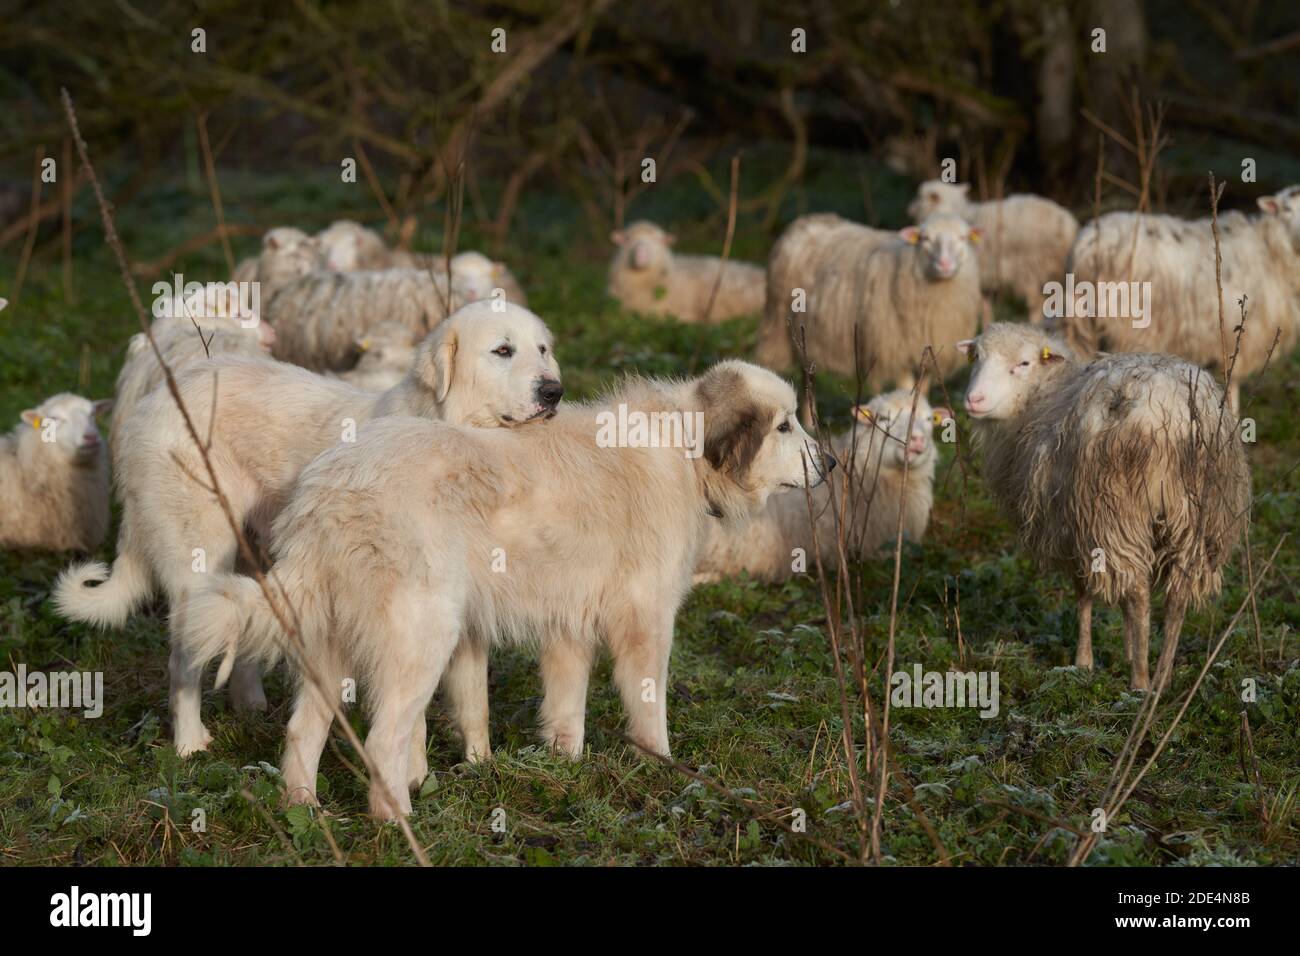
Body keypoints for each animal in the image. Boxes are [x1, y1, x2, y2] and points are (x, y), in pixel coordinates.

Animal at [756, 213, 982, 390]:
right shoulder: (892, 350)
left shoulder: (929, 351)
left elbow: (921, 392)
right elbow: (905, 389)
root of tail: (805, 221)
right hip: (780, 329)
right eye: (925, 238)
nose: (945, 264)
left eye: (962, 238)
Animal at [908, 181, 1078, 317]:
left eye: (920, 197)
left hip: (1030, 269)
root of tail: (1066, 225)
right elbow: (986, 307)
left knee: (1037, 304)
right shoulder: (984, 279)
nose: (909, 209)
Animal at [959, 322, 1250, 691]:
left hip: (1117, 512)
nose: (974, 400)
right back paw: (1162, 677)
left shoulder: (1072, 526)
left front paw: (1083, 661)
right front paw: (1125, 649)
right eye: (975, 357)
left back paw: (1140, 680)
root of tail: (1180, 414)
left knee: (1139, 593)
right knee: (1177, 595)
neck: (1040, 398)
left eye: (1023, 363)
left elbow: (1083, 593)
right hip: (1203, 517)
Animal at [1055, 186, 1300, 412]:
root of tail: (1088, 249)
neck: (1269, 248)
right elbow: (1233, 382)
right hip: (1131, 326)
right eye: (1286, 209)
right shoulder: (1242, 335)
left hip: (1081, 325)